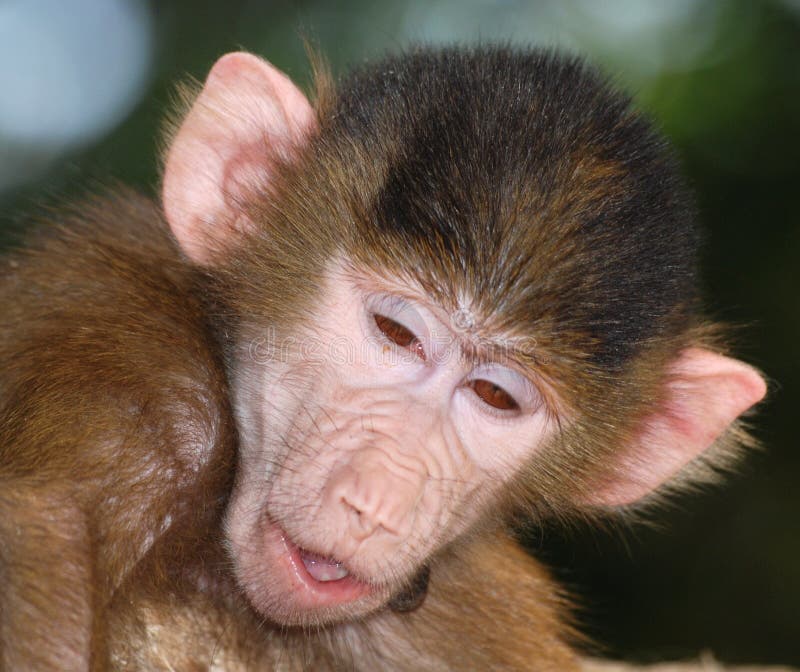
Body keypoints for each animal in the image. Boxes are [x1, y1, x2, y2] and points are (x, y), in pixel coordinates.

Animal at [0, 46, 771, 670]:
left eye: (496, 396)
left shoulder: (462, 613)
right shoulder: (136, 395)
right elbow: (40, 528)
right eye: (397, 333)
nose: (377, 499)